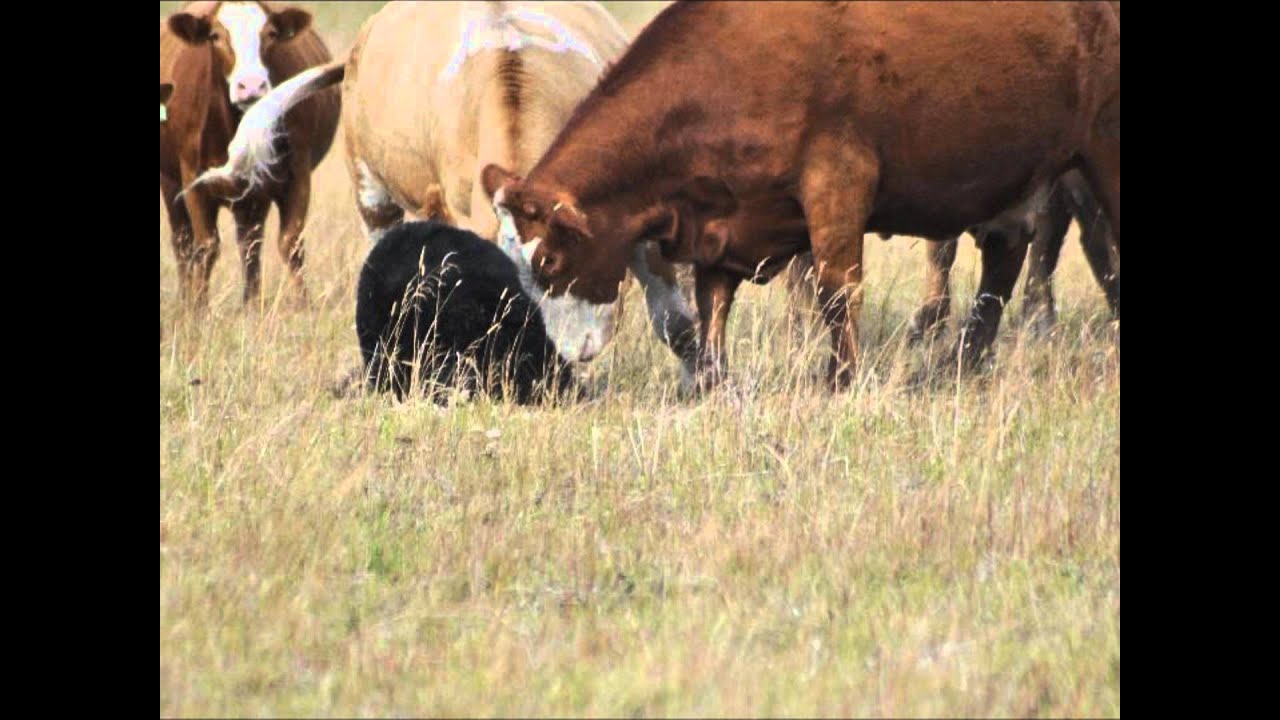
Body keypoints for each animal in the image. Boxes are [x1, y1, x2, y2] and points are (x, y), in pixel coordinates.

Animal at [160, 1, 339, 310]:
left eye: (270, 33)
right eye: (215, 36)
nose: (252, 85)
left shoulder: (296, 174)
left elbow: (291, 242)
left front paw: (304, 306)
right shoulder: (191, 177)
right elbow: (205, 246)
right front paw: (198, 310)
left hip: (253, 196)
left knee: (250, 243)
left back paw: (251, 304)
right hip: (171, 182)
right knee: (182, 241)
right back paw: (186, 299)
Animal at [478, 1, 1120, 391]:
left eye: (548, 261)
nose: (559, 359)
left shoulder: (838, 182)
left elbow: (838, 292)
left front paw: (840, 379)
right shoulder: (723, 222)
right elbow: (712, 305)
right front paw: (712, 382)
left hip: (1099, 155)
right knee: (1006, 260)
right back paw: (957, 363)